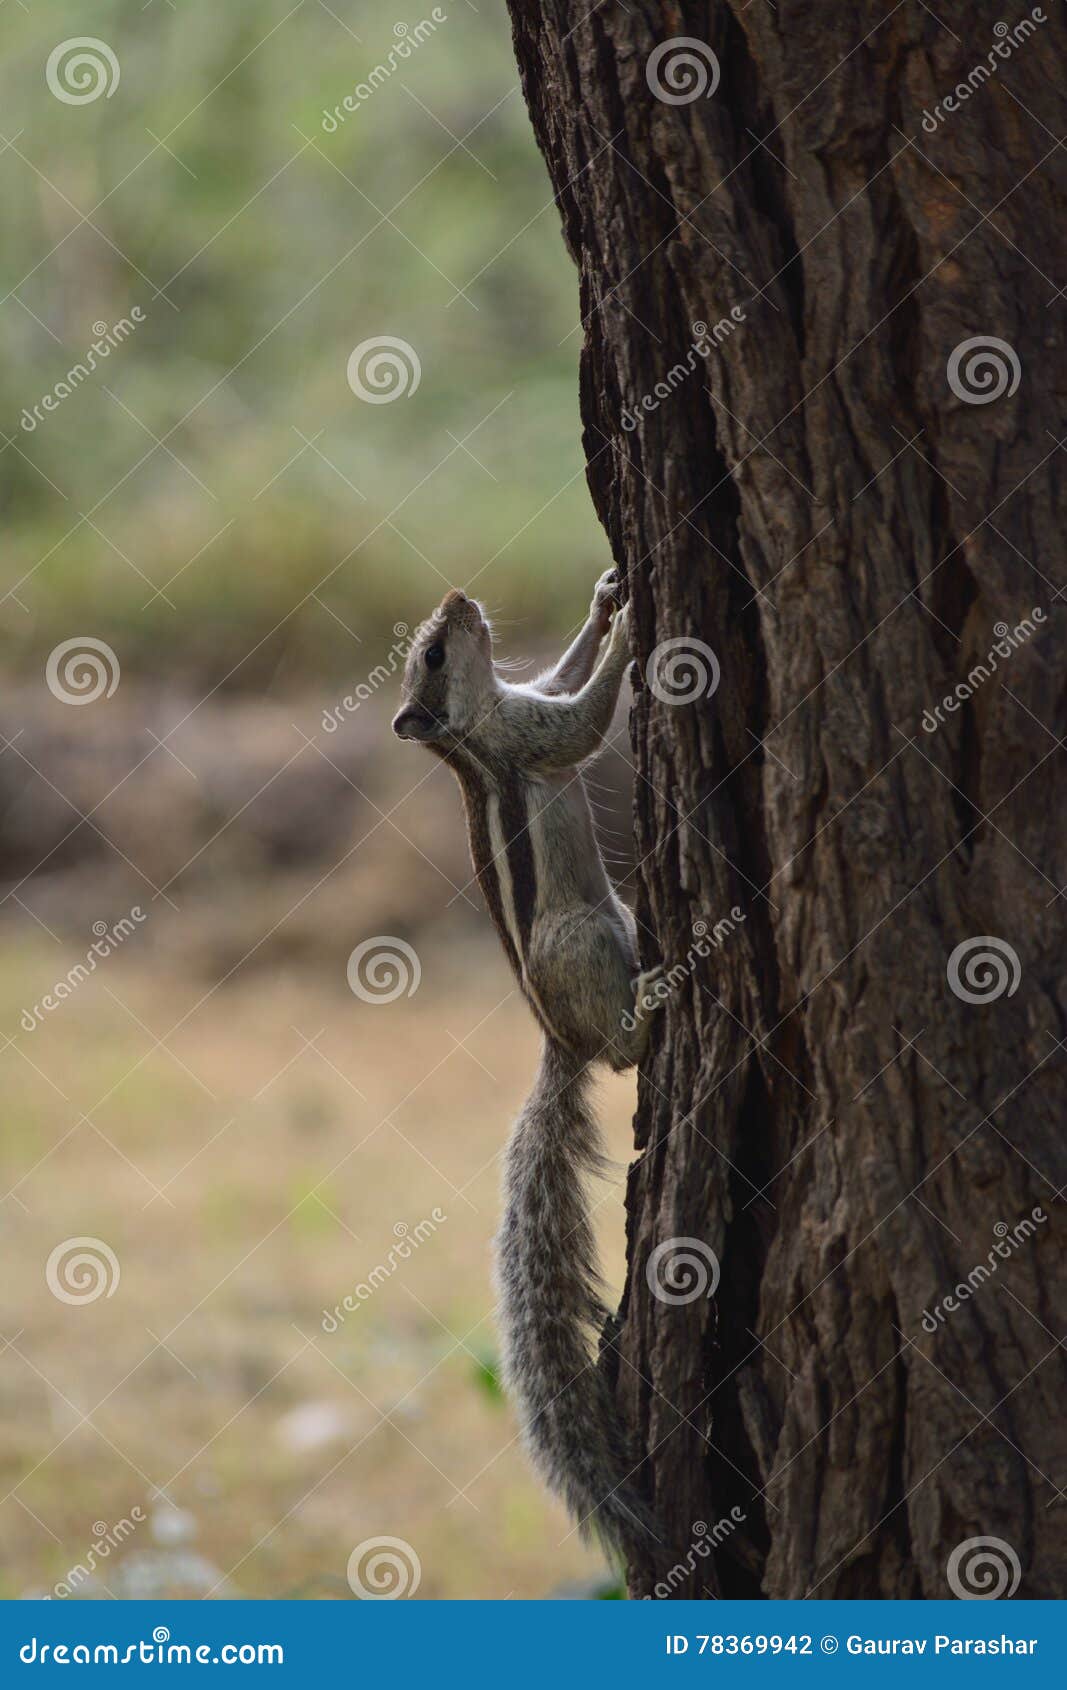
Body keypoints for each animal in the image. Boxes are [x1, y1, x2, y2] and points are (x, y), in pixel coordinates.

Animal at [392, 569, 664, 1565]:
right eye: (434, 654)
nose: (457, 596)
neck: (474, 727)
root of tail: (559, 1041)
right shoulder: (532, 732)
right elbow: (584, 719)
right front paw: (629, 637)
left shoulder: (528, 695)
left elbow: (564, 675)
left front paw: (606, 600)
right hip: (579, 938)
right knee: (616, 1053)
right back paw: (647, 1010)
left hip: (612, 917)